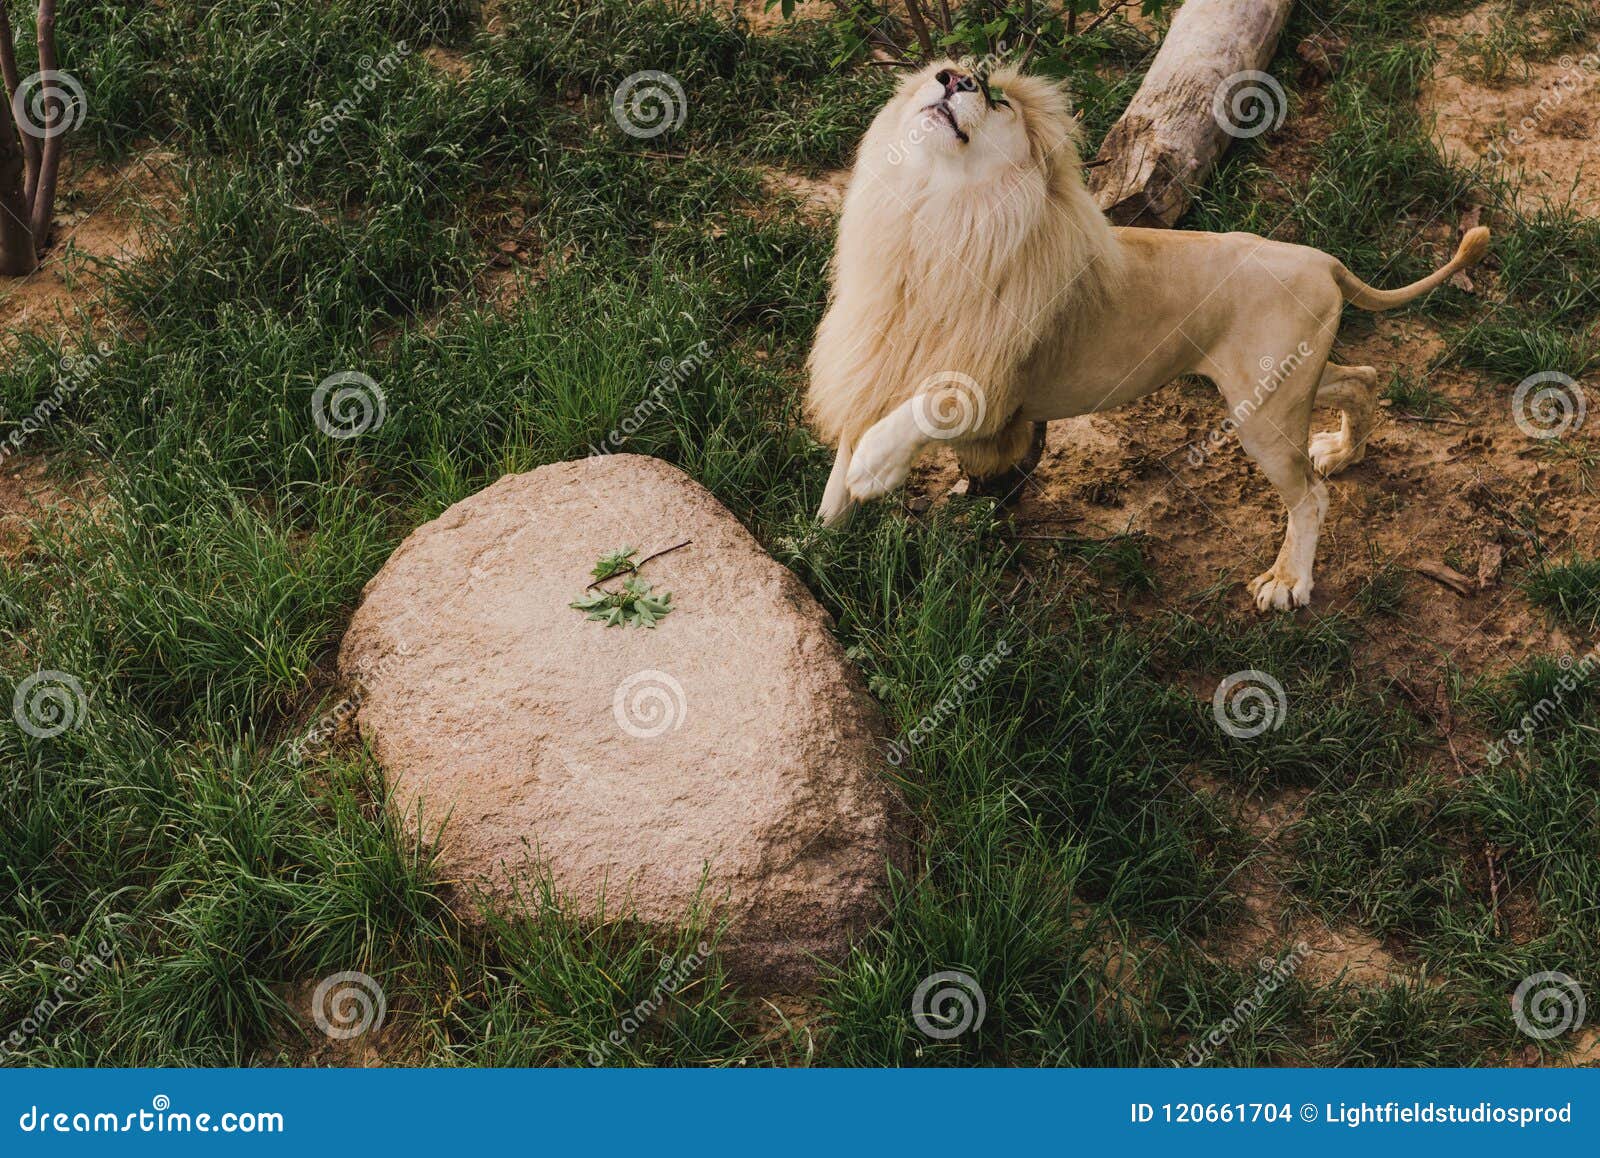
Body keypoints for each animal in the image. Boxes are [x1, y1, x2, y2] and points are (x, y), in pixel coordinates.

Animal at [807, 61, 1490, 610]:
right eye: (940, 70)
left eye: (997, 100)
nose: (955, 80)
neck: (934, 214)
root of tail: (1322, 260)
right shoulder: (872, 357)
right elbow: (840, 467)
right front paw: (816, 547)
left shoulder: (993, 383)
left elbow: (925, 408)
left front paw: (874, 468)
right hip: (1289, 381)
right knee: (1361, 378)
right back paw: (1342, 451)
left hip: (1264, 411)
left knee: (1310, 497)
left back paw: (1288, 581)